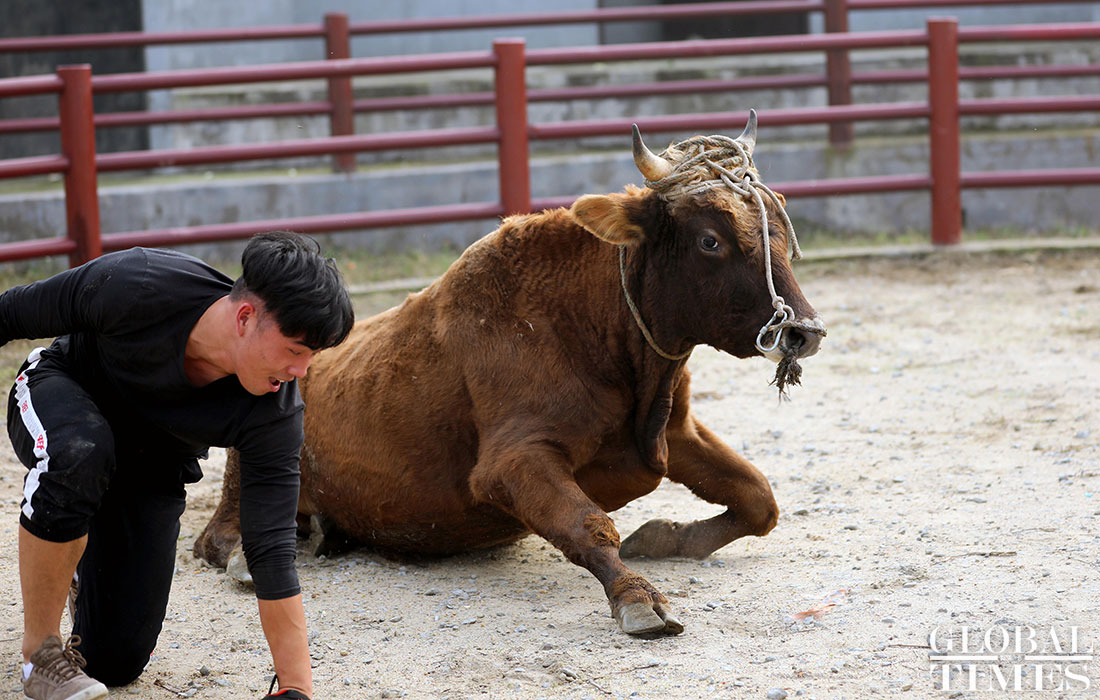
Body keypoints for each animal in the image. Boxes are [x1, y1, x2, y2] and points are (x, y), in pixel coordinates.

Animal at [194, 112, 826, 636]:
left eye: (778, 222)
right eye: (711, 240)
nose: (805, 331)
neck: (592, 329)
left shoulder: (676, 432)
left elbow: (759, 499)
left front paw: (662, 537)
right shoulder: (511, 461)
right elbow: (590, 524)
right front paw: (638, 597)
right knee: (215, 535)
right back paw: (245, 559)